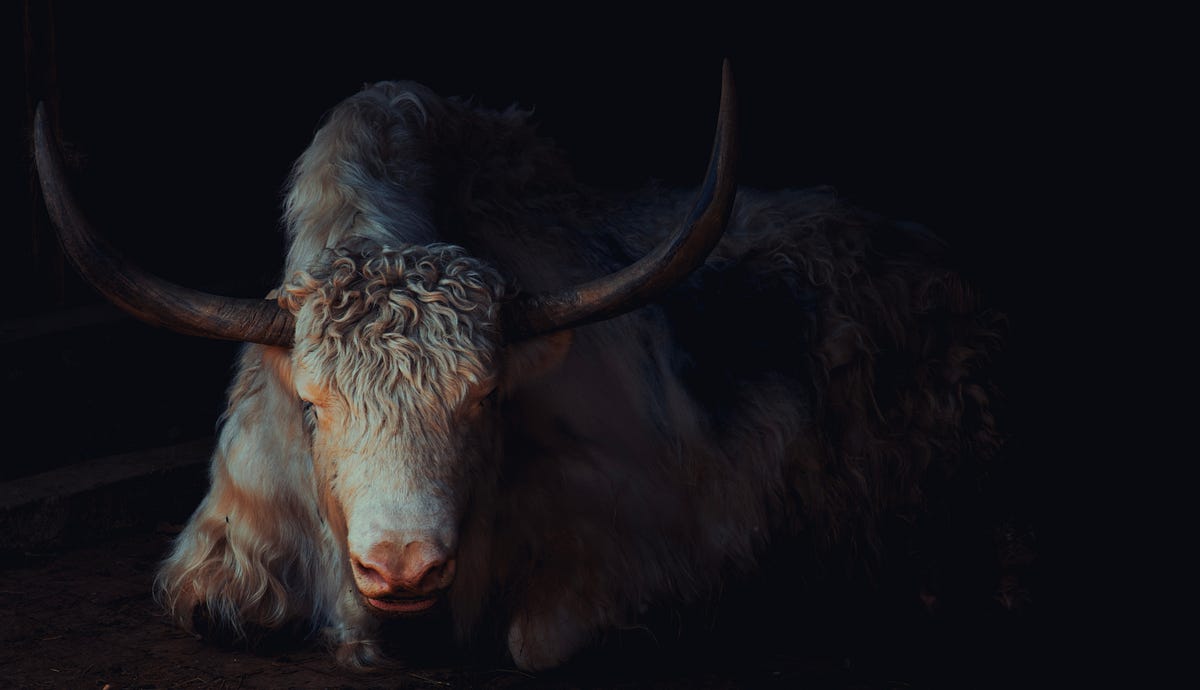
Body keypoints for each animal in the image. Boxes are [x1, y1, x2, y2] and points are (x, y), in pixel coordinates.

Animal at [34, 62, 1007, 672]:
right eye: (312, 409)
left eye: (488, 400)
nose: (403, 568)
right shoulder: (215, 560)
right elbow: (221, 606)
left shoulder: (664, 539)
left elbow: (540, 640)